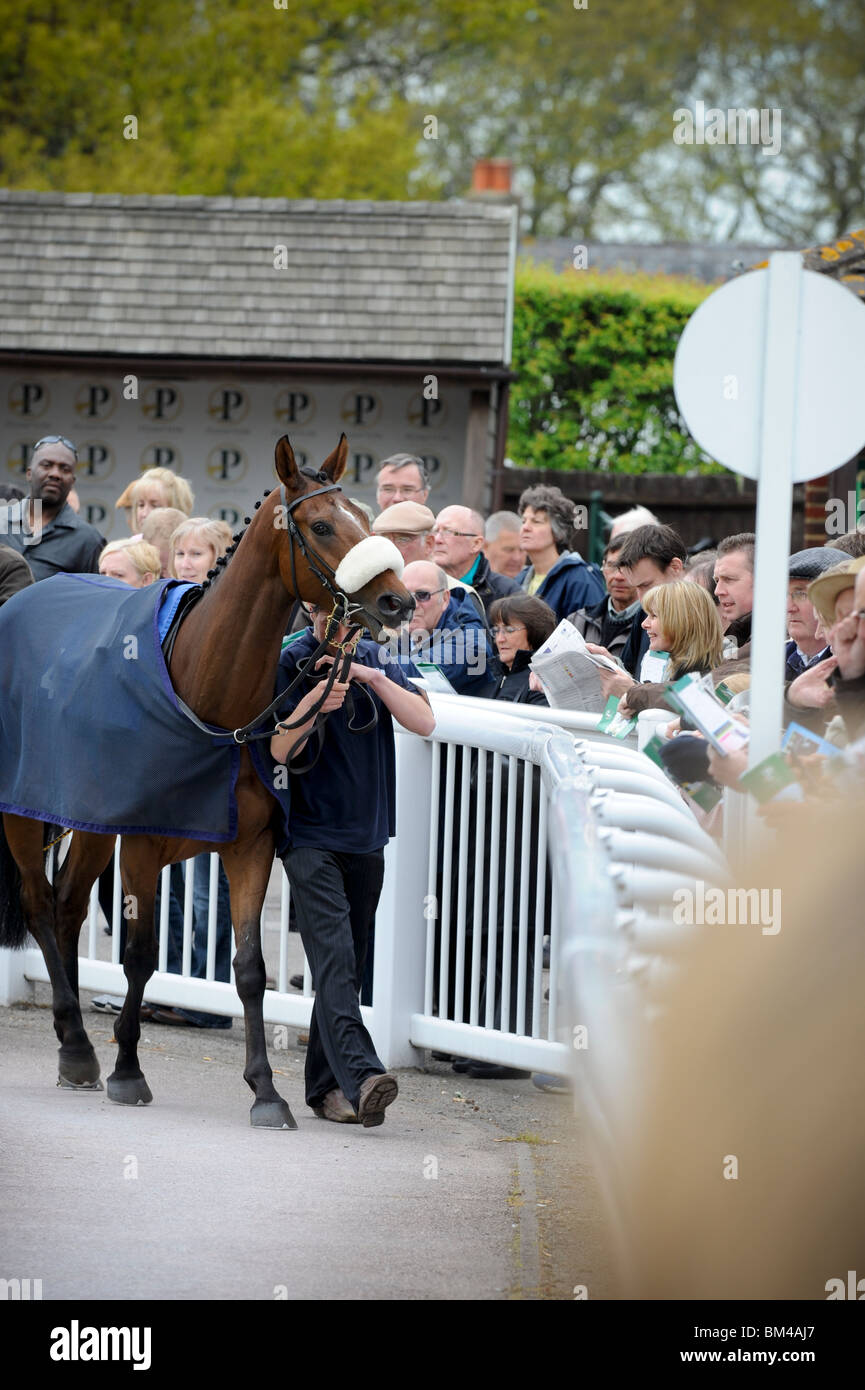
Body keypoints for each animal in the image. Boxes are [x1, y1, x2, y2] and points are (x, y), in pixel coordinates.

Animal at [0, 434, 413, 1129]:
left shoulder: (251, 845)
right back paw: (80, 1047)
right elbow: (141, 954)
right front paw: (128, 1069)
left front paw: (266, 1091)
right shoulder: (141, 842)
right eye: (322, 525)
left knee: (66, 907)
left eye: (364, 514)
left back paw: (71, 1041)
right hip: (23, 813)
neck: (208, 702)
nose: (398, 601)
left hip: (88, 819)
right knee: (37, 902)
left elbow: (248, 967)